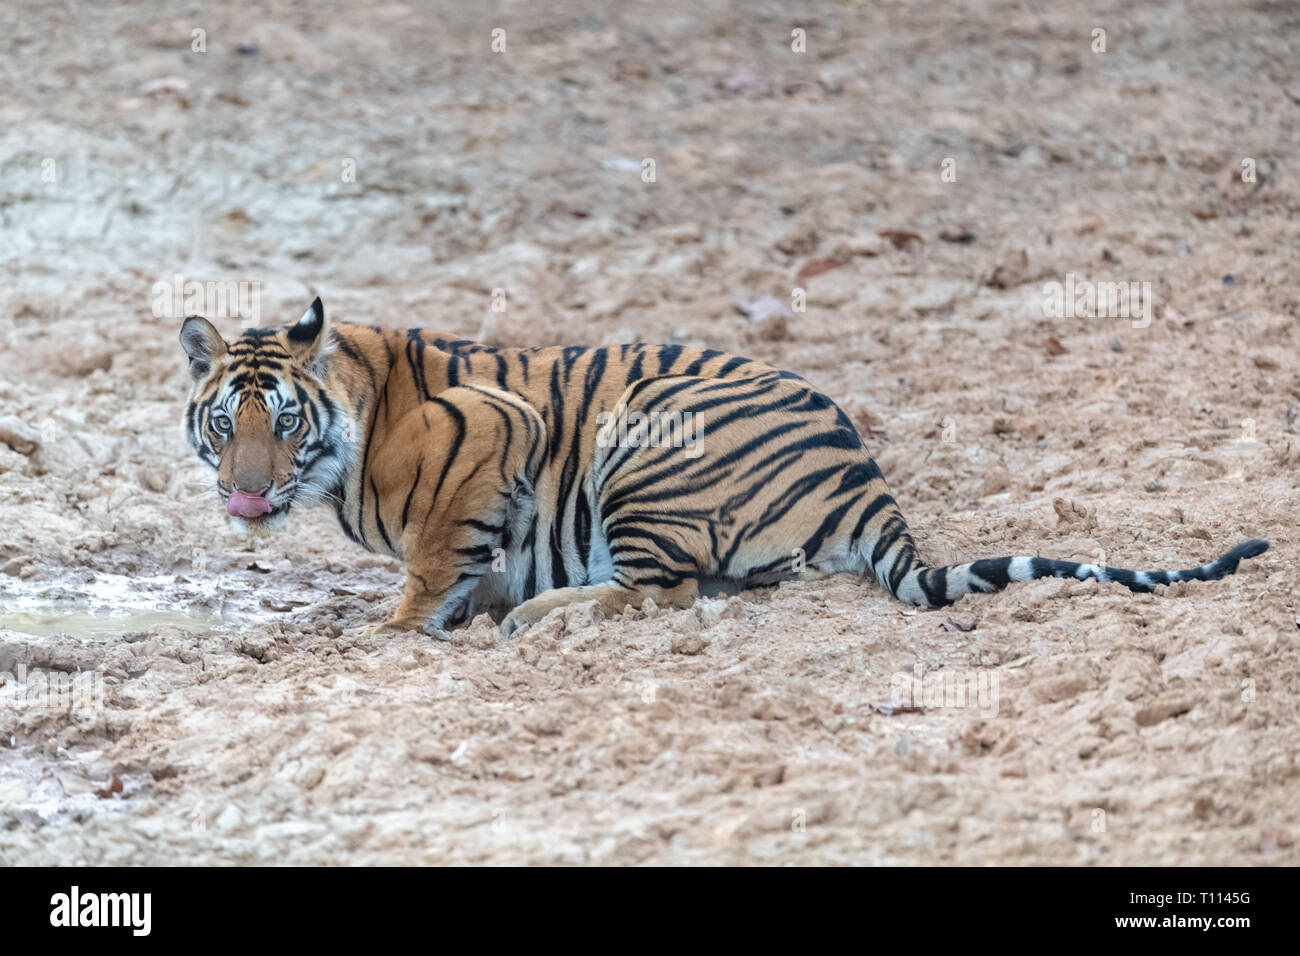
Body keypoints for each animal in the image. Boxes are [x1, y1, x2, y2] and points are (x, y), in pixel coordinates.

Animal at [179, 297, 1268, 639]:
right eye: (224, 426)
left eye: (283, 422)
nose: (244, 492)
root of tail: (862, 471)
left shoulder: (490, 428)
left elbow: (434, 561)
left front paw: (396, 630)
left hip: (641, 447)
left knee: (660, 591)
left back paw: (543, 616)